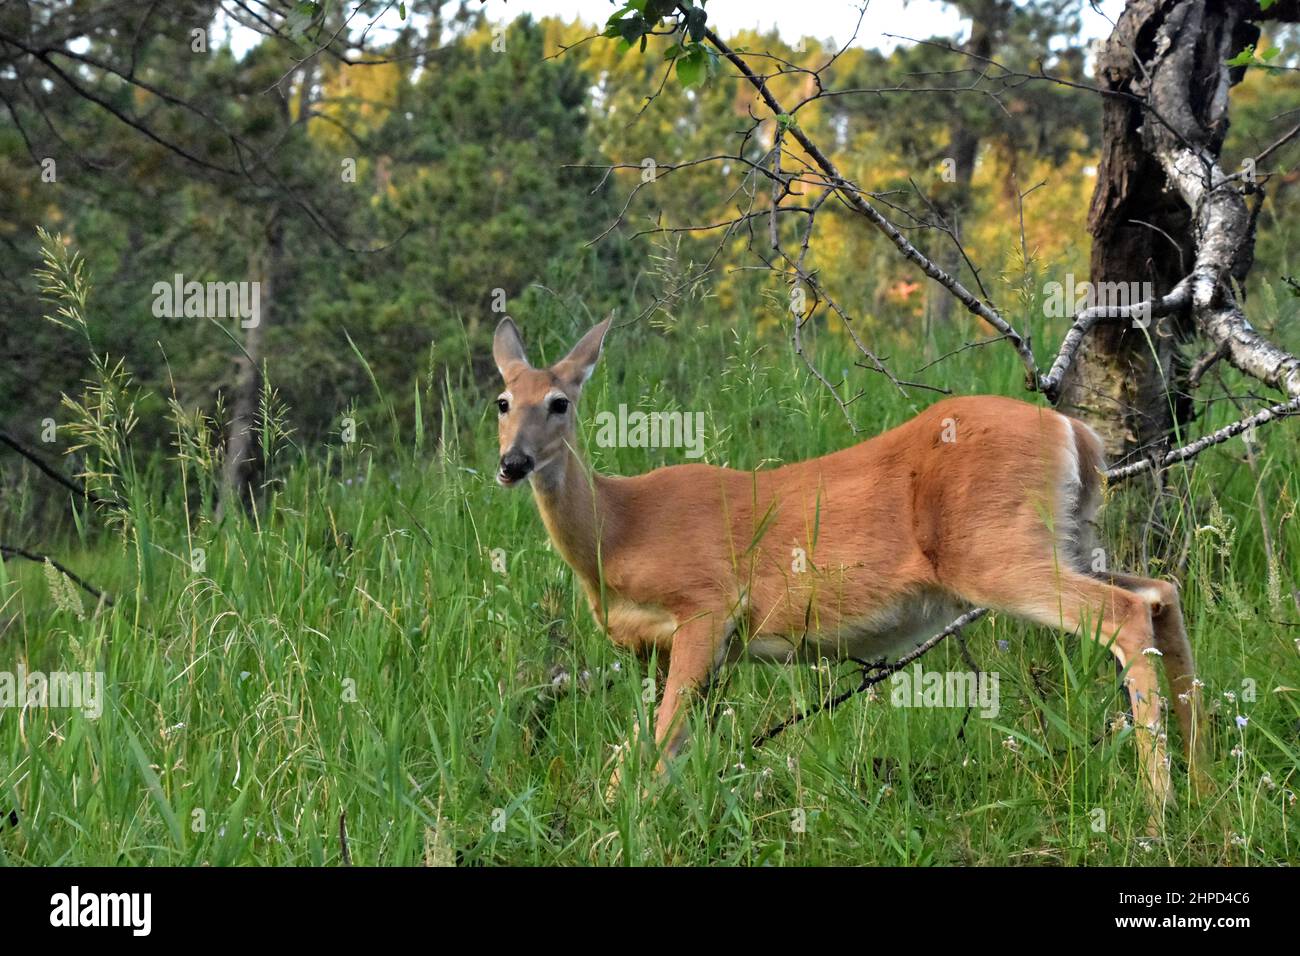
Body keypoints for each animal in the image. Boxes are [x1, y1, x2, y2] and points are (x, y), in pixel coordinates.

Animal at [491, 316, 1208, 822]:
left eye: (559, 402)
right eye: (502, 401)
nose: (512, 463)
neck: (617, 530)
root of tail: (1078, 435)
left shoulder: (708, 609)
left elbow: (657, 741)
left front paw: (618, 825)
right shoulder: (681, 650)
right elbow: (668, 746)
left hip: (996, 550)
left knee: (1125, 612)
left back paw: (1157, 810)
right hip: (1069, 540)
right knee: (1160, 591)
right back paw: (1201, 788)